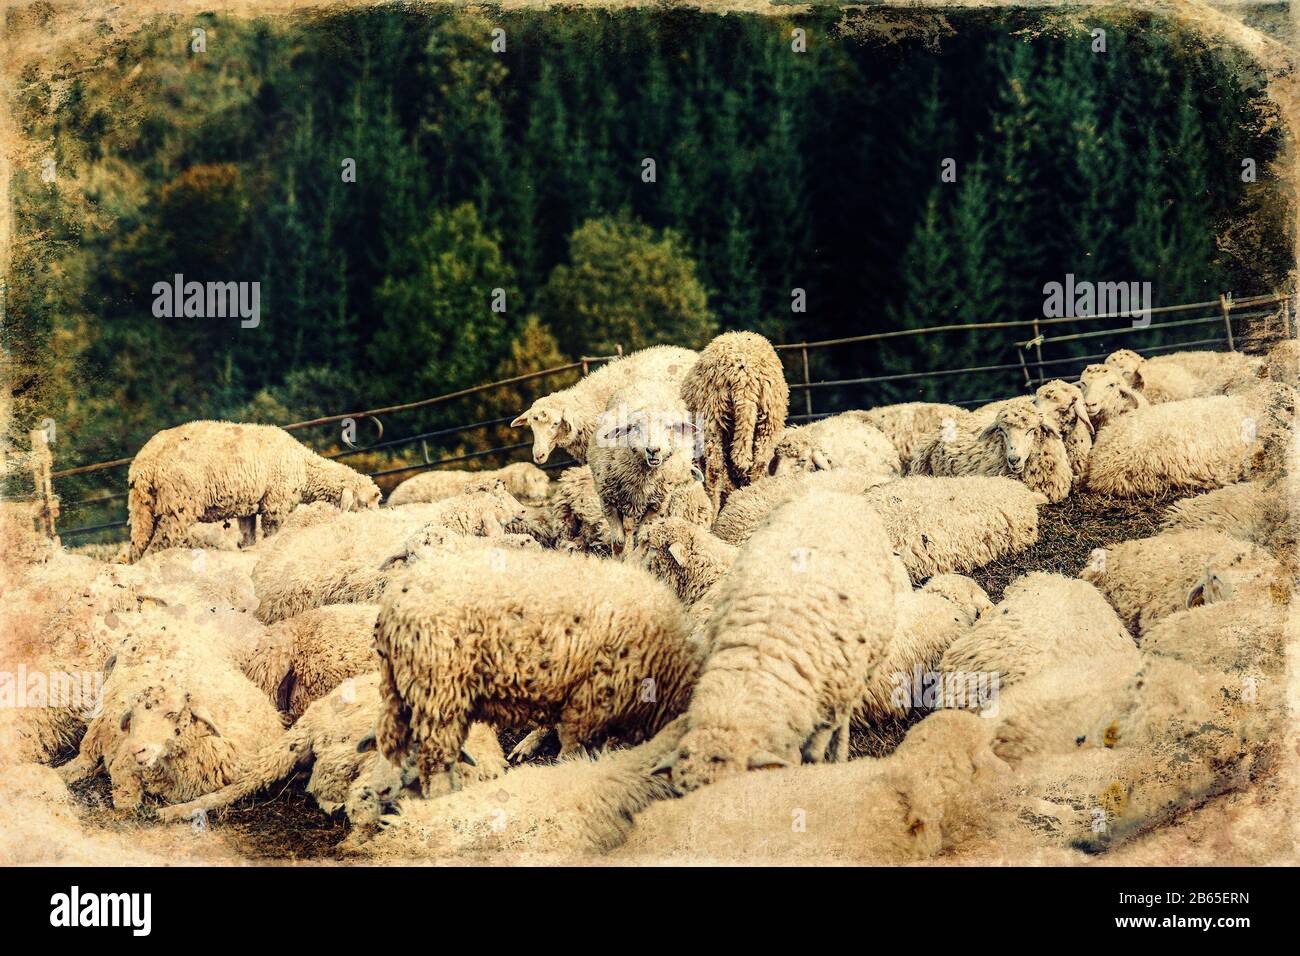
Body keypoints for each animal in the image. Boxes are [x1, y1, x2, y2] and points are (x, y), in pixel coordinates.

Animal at [127, 420, 381, 561]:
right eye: (365, 503)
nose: (379, 525)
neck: (304, 467)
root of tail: (145, 465)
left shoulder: (247, 508)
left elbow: (248, 537)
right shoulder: (276, 503)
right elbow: (270, 534)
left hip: (142, 507)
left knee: (138, 546)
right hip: (179, 503)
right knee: (158, 545)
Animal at [155, 673, 505, 837]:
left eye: (416, 762)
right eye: (385, 748)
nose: (378, 790)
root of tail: (314, 713)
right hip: (334, 755)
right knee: (316, 783)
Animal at [587, 380, 711, 556]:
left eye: (668, 427)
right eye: (635, 427)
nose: (653, 450)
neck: (643, 477)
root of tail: (646, 382)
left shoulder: (657, 505)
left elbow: (642, 538)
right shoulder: (607, 500)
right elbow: (618, 542)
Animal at [678, 331, 789, 511]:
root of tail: (745, 377)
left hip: (713, 418)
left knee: (715, 468)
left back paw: (714, 508)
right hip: (768, 421)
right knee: (758, 462)